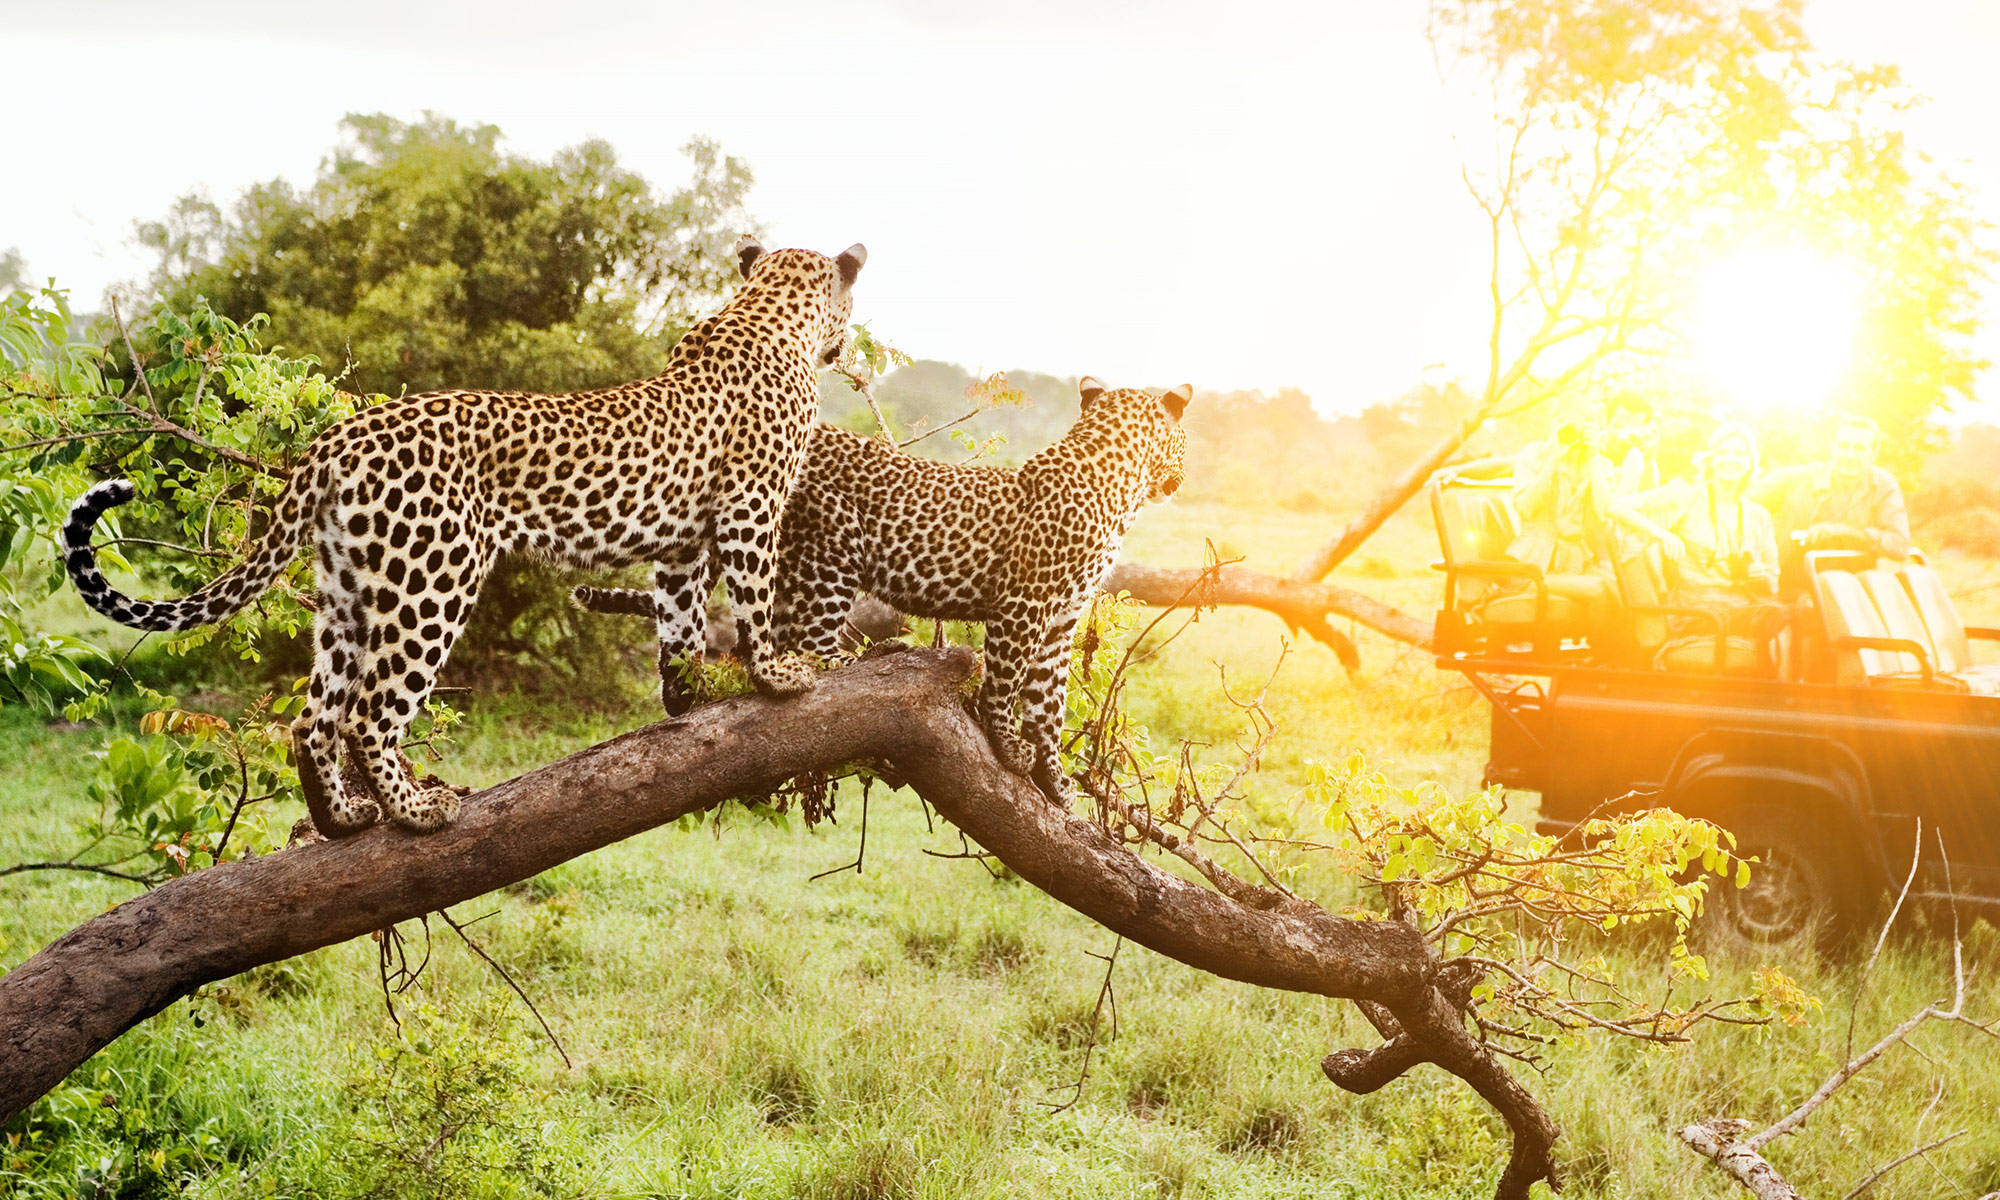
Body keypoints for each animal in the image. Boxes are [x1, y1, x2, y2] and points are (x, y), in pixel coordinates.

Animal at [68, 234, 868, 836]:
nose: (845, 345)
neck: (767, 311)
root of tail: (334, 440)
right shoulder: (751, 508)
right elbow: (754, 601)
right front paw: (776, 676)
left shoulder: (680, 543)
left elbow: (680, 621)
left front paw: (688, 696)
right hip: (432, 579)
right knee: (368, 712)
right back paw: (416, 811)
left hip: (347, 591)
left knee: (315, 717)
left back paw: (342, 820)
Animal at [572, 380, 1192, 800]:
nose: (1181, 479)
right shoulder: (1023, 607)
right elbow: (1005, 684)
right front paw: (1008, 745)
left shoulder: (1062, 621)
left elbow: (1048, 703)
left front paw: (1055, 778)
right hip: (830, 547)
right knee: (808, 645)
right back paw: (870, 655)